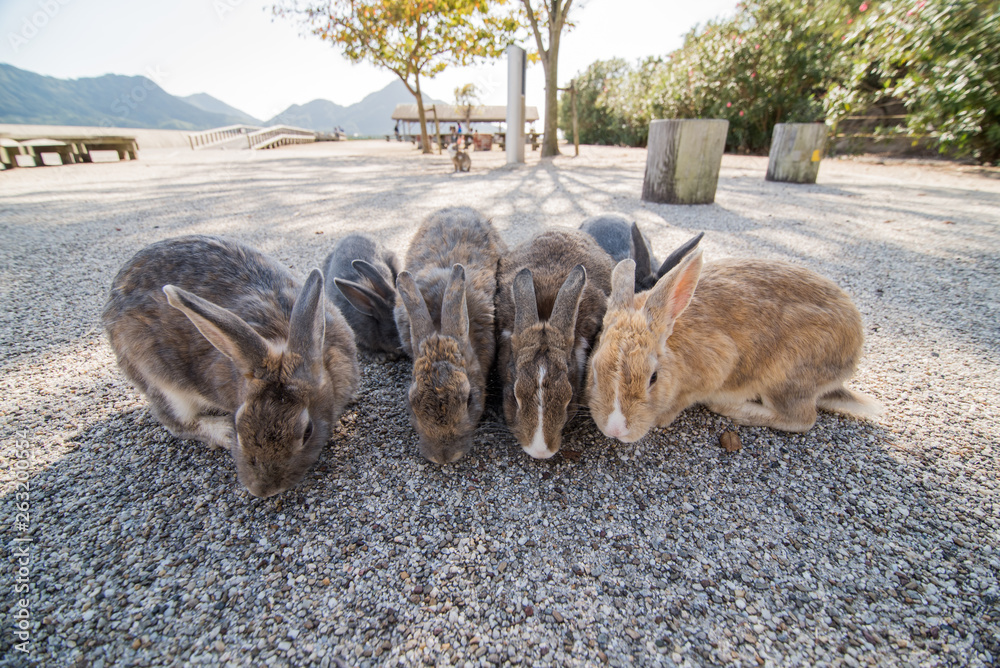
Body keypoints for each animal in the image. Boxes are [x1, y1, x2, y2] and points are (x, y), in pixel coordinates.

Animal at [102, 235, 359, 498]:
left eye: (308, 431)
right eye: (238, 424)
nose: (262, 490)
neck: (280, 339)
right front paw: (228, 432)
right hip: (163, 383)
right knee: (177, 421)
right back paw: (220, 431)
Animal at [586, 251, 882, 443]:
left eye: (653, 378)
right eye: (595, 370)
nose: (615, 430)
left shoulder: (715, 369)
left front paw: (662, 418)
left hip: (787, 378)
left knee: (802, 418)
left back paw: (730, 409)